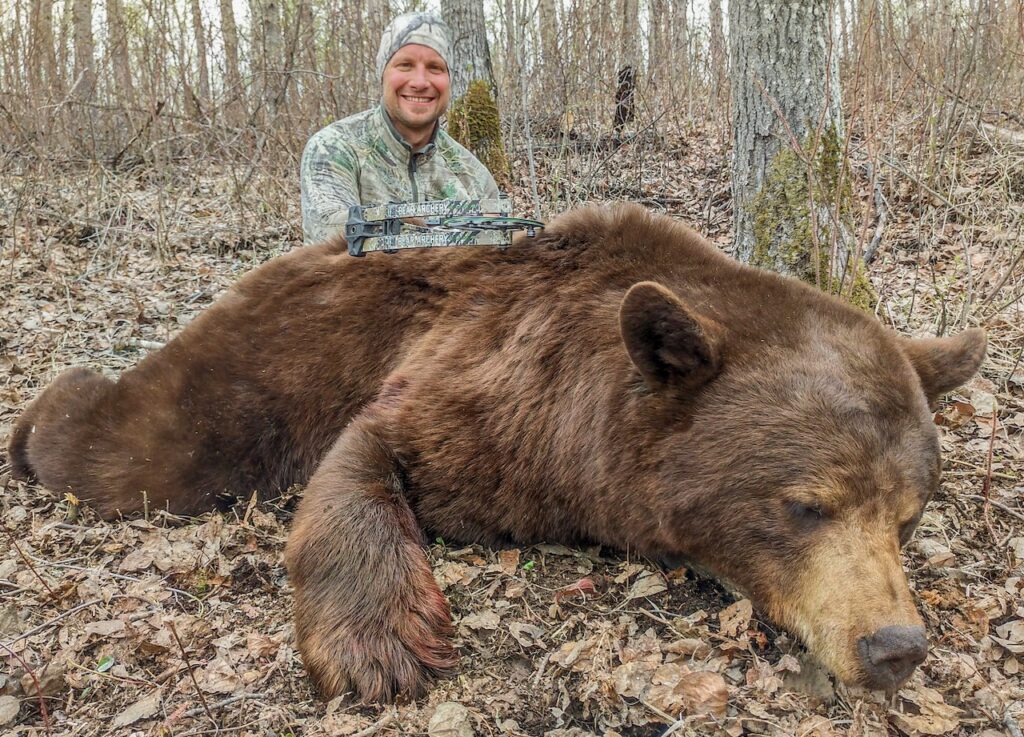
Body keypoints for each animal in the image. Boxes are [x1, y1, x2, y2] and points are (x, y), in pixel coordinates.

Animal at [9, 204, 987, 703]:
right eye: (807, 503)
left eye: (908, 516)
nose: (895, 644)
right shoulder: (494, 382)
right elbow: (371, 448)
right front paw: (382, 647)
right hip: (262, 360)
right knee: (136, 447)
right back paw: (41, 414)